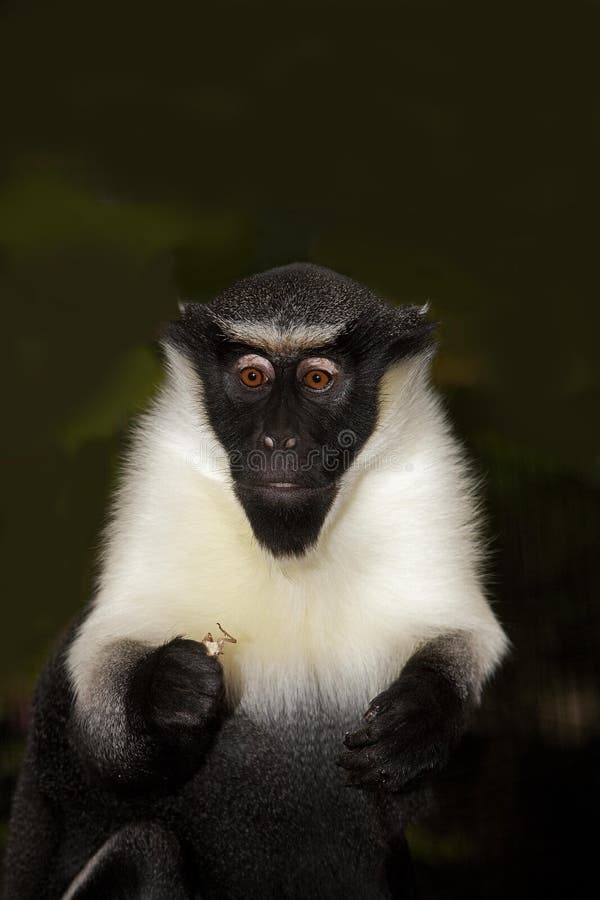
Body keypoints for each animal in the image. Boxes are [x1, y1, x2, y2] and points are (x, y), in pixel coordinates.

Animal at [4, 263, 507, 899]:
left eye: (318, 378)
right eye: (251, 376)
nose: (279, 441)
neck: (290, 563)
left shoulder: (424, 488)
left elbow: (466, 639)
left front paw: (424, 710)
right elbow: (105, 733)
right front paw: (166, 692)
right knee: (146, 848)